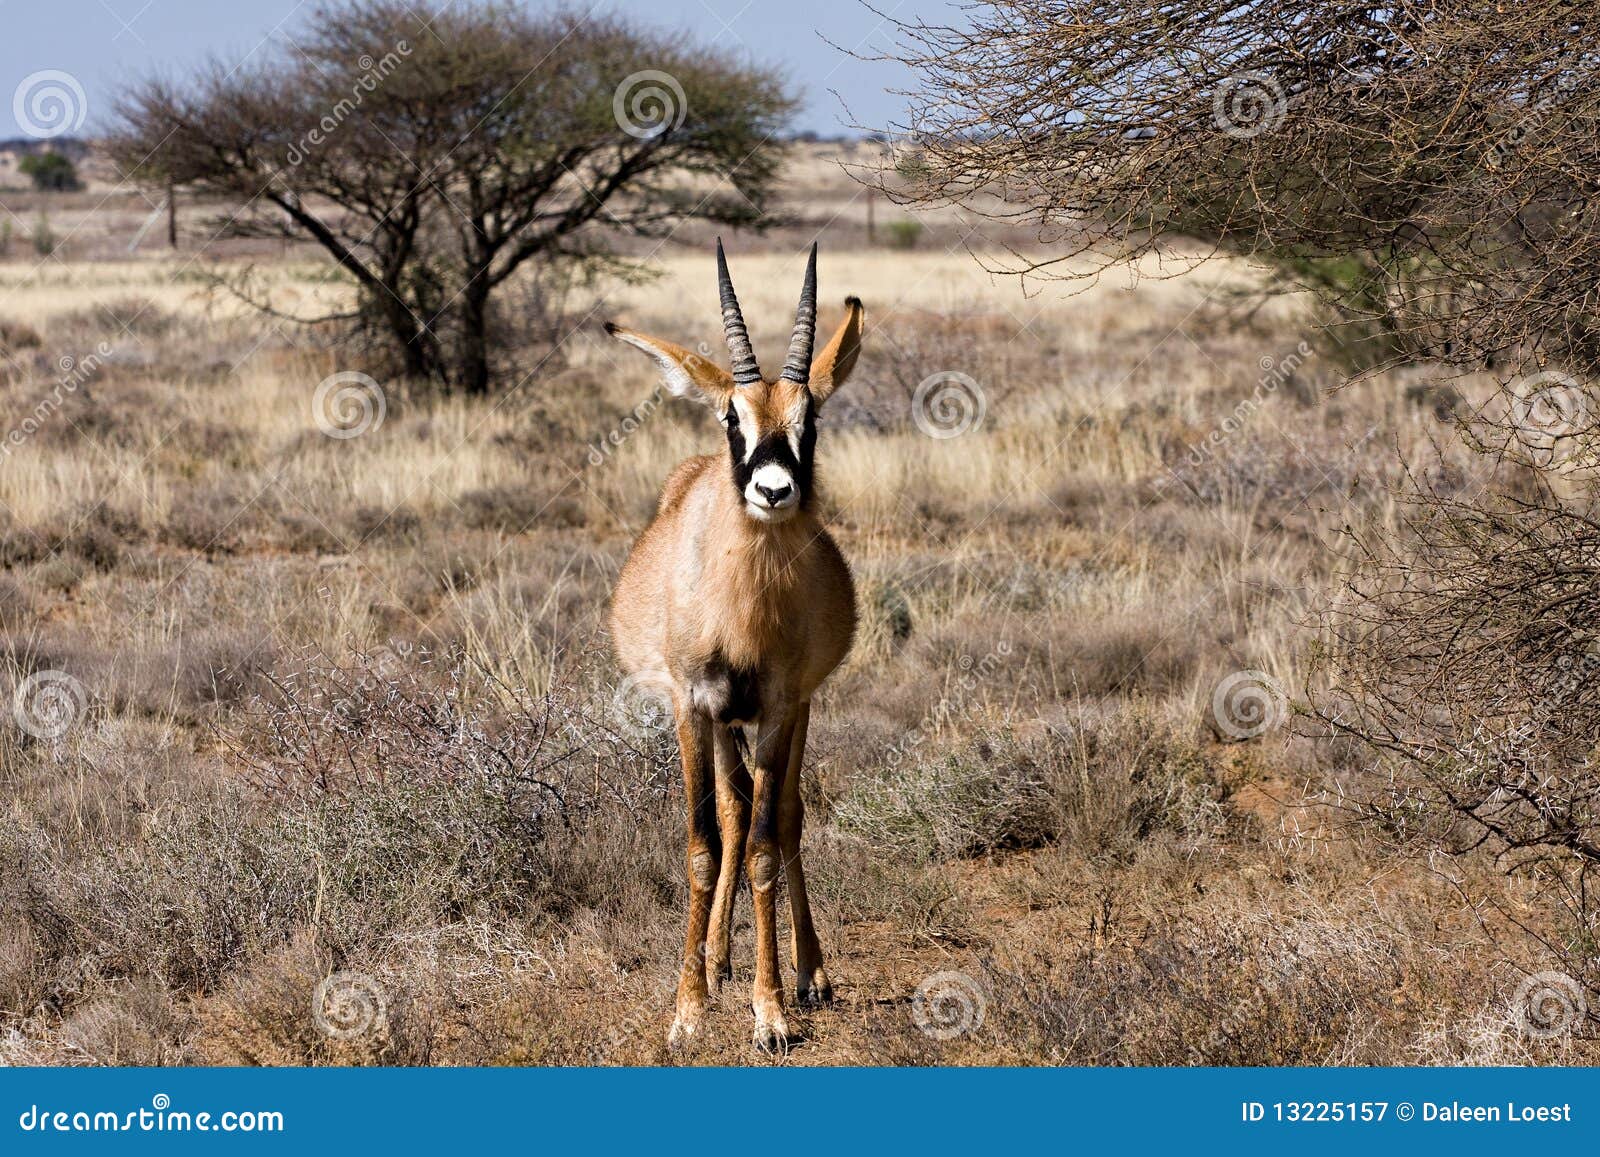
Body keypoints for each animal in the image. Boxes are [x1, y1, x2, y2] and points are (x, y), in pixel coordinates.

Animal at [606, 241, 864, 1053]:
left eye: (811, 417)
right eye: (733, 415)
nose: (775, 490)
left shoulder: (780, 704)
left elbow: (762, 847)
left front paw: (772, 1011)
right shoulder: (694, 706)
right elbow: (702, 843)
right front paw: (688, 1010)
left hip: (792, 712)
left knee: (781, 815)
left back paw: (809, 972)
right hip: (721, 722)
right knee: (730, 807)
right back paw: (716, 961)